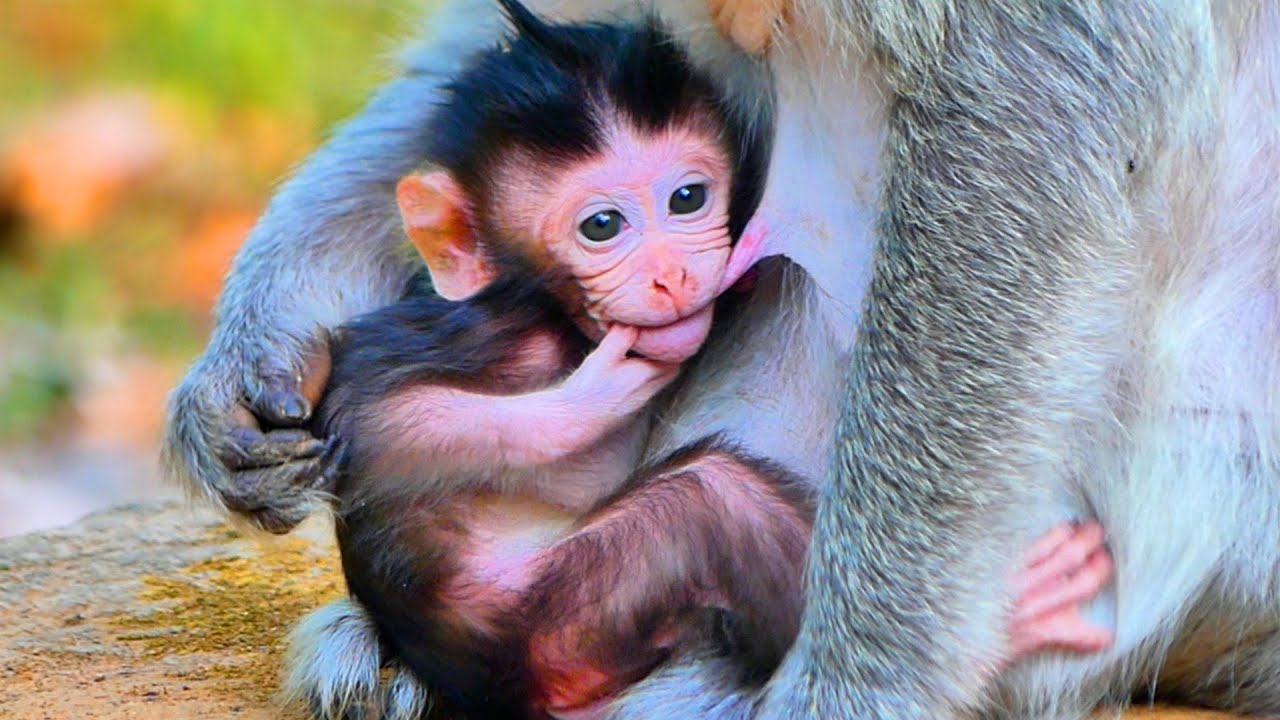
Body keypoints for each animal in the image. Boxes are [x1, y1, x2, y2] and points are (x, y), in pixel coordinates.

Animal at [162, 0, 1280, 718]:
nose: (665, 277)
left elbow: (1034, 84)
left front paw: (858, 686)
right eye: (602, 224)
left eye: (686, 199)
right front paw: (251, 353)